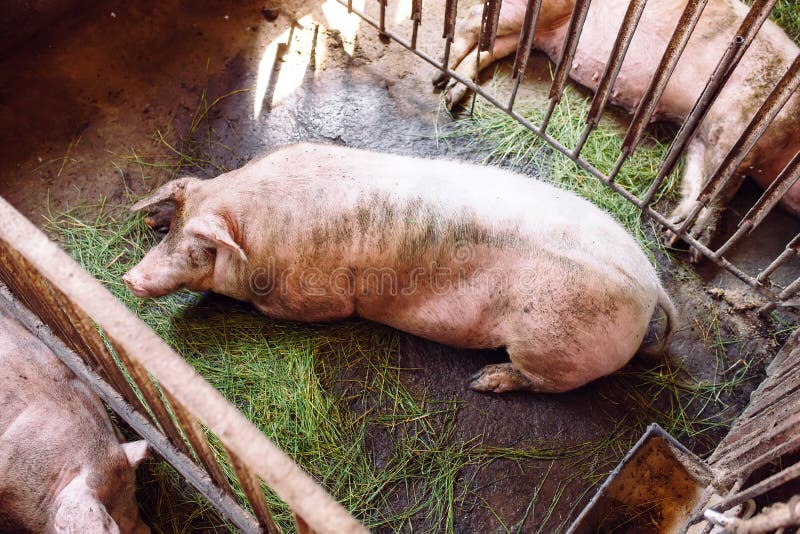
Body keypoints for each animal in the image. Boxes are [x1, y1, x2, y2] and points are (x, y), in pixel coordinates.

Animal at [123, 143, 675, 394]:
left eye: (199, 250)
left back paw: (483, 381)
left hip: (551, 340)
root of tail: (652, 288)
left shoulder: (320, 299)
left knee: (546, 382)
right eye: (173, 234)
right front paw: (149, 216)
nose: (129, 279)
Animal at [436, 0, 800, 259]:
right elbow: (723, 184)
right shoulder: (743, 117)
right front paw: (695, 245)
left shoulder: (701, 133)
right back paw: (439, 78)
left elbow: (698, 179)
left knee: (488, 46)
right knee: (472, 26)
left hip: (530, 28)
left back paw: (452, 94)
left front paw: (674, 235)